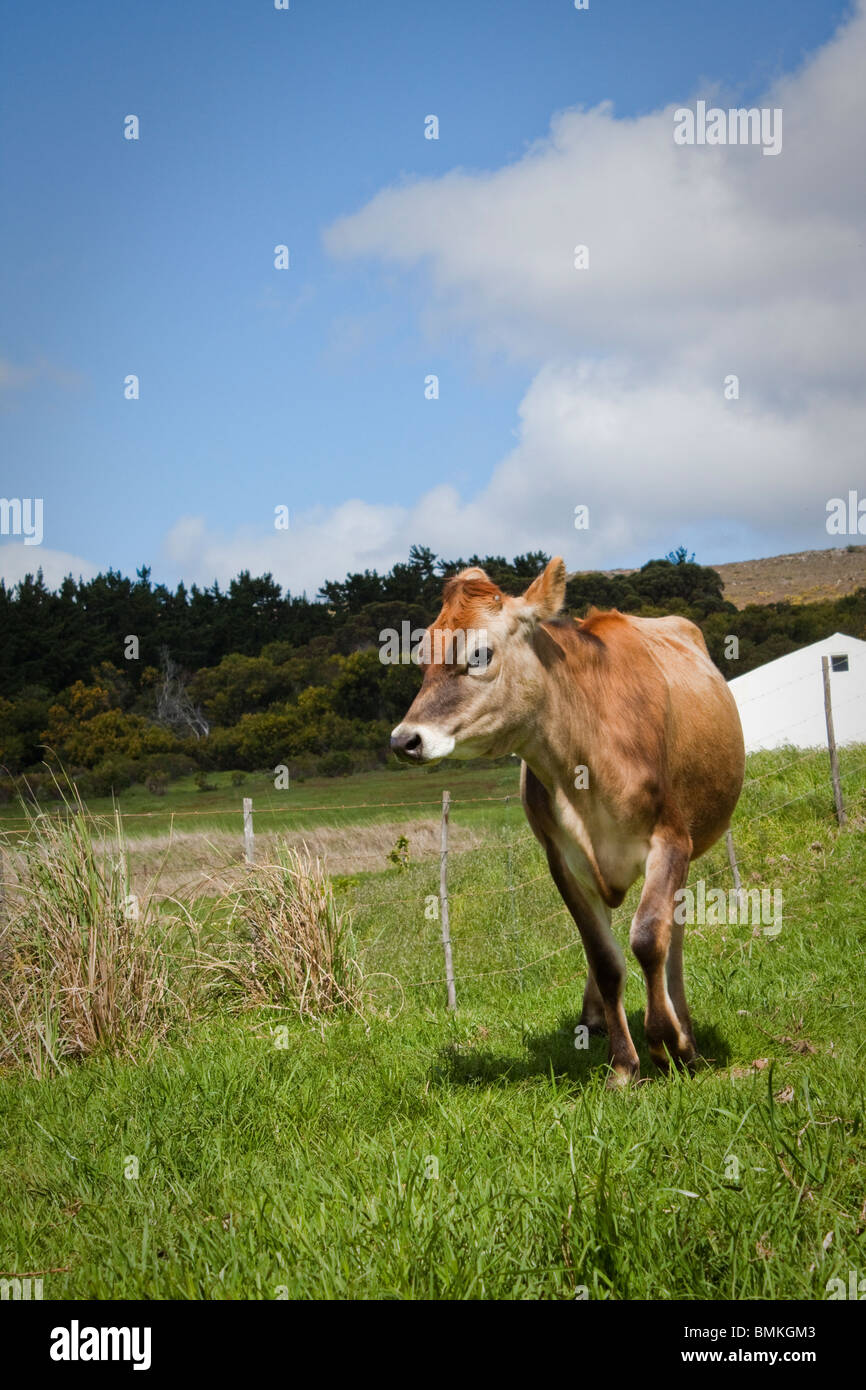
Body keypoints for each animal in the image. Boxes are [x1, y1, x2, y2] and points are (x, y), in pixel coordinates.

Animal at [390, 557, 745, 1085]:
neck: (583, 761)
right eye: (421, 658)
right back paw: (596, 1016)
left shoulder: (671, 841)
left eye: (479, 654)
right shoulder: (561, 860)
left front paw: (668, 1044)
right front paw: (624, 1065)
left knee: (671, 932)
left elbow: (648, 938)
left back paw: (682, 1028)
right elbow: (603, 958)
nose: (404, 740)